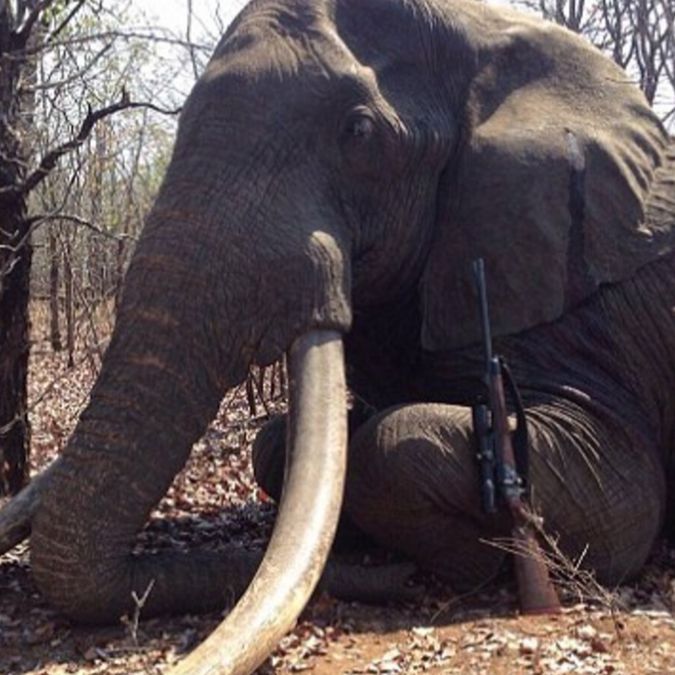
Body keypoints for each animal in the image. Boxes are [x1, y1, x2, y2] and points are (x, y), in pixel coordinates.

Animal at [1, 0, 674, 672]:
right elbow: (277, 444)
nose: (400, 580)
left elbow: (622, 506)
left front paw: (460, 561)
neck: (488, 31)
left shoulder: (575, 302)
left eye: (358, 132)